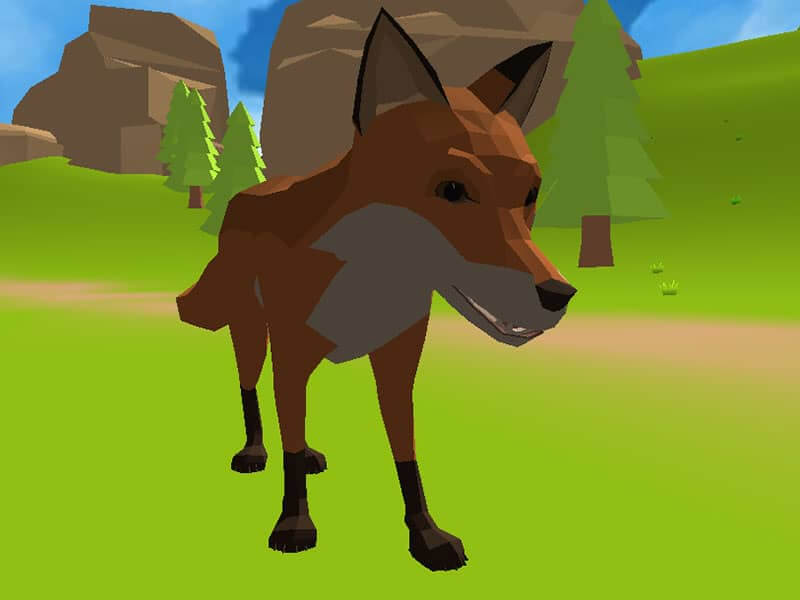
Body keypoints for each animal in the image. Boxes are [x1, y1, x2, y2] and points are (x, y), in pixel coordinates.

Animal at [176, 8, 576, 572]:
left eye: (530, 195)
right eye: (453, 190)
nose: (558, 295)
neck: (370, 286)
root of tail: (246, 195)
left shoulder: (397, 363)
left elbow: (406, 459)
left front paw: (425, 537)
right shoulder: (294, 352)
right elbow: (289, 451)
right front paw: (294, 525)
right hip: (253, 330)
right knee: (252, 391)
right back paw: (255, 452)